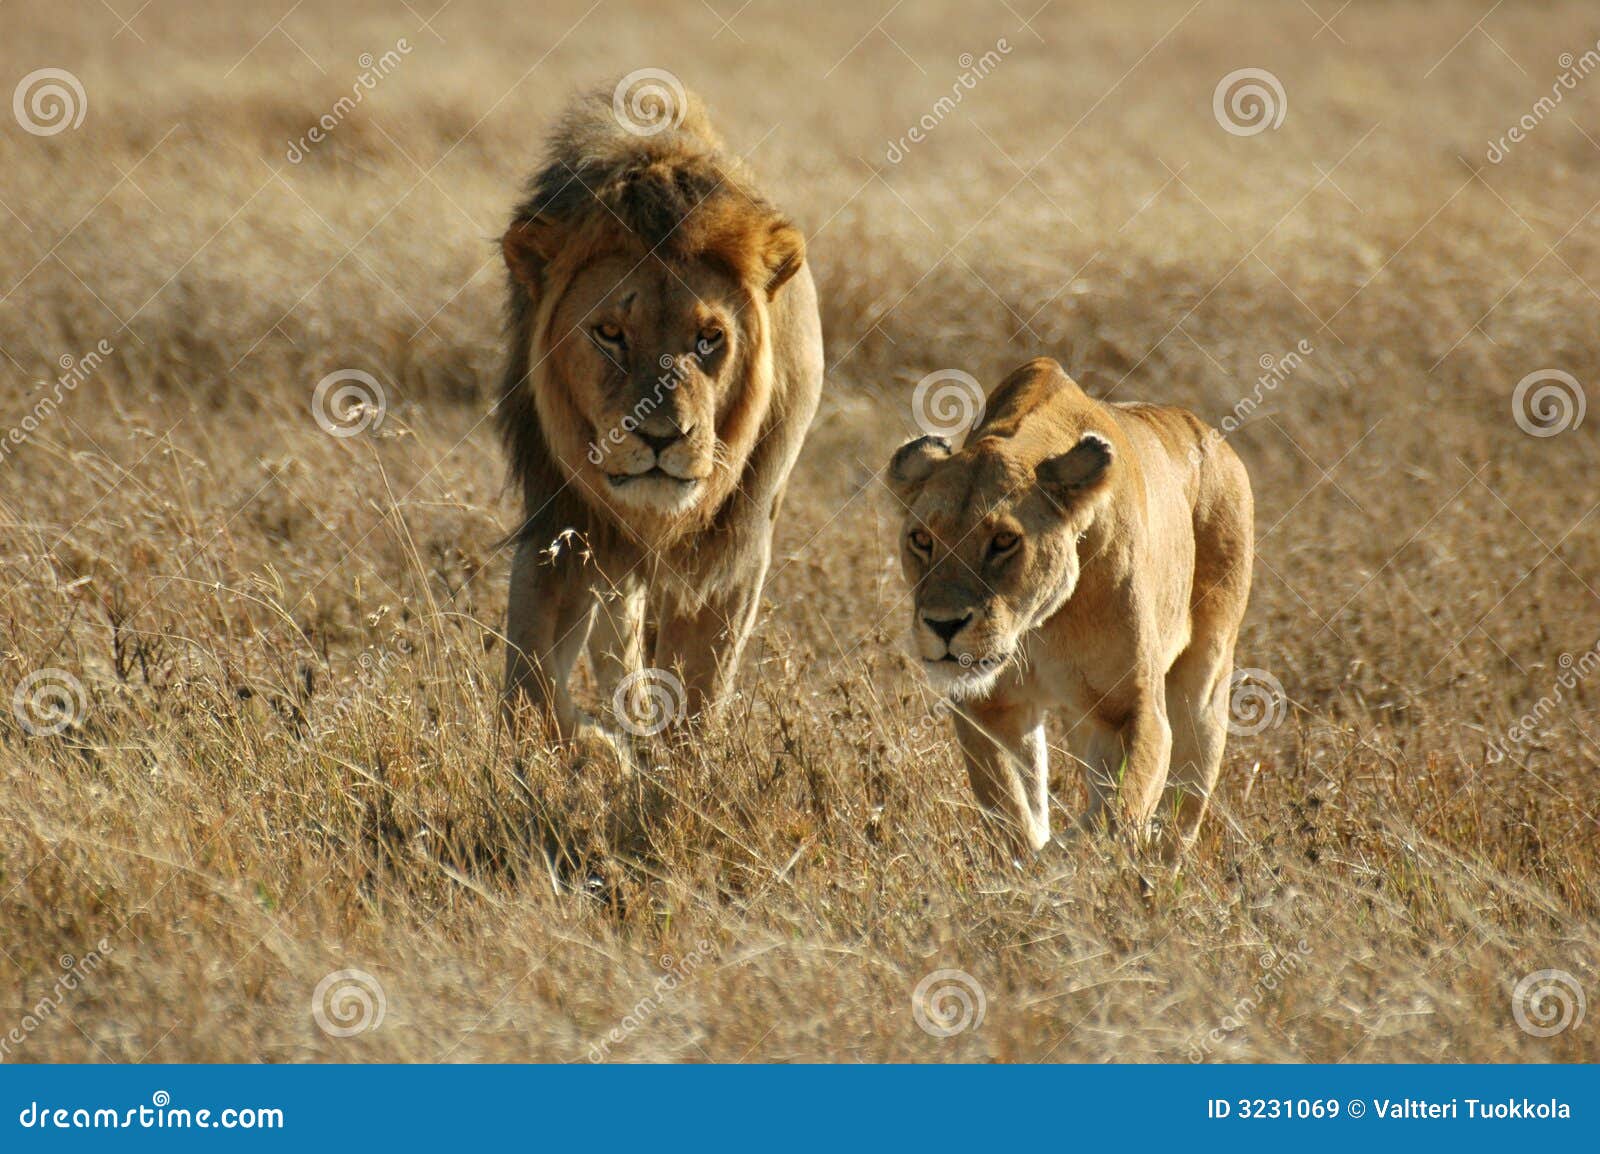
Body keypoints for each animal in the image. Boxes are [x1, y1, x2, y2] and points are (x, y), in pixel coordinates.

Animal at [497, 86, 823, 739]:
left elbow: (700, 685)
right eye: (610, 334)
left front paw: (671, 759)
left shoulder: (734, 551)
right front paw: (585, 743)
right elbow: (531, 675)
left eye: (709, 338)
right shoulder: (559, 523)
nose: (659, 436)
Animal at [887, 357, 1254, 856]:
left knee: (1182, 809)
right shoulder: (990, 706)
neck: (1036, 625)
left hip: (1204, 686)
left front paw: (1071, 854)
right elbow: (1012, 809)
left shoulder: (1132, 708)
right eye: (922, 539)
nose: (944, 626)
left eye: (1004, 541)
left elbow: (1115, 812)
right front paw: (1033, 859)